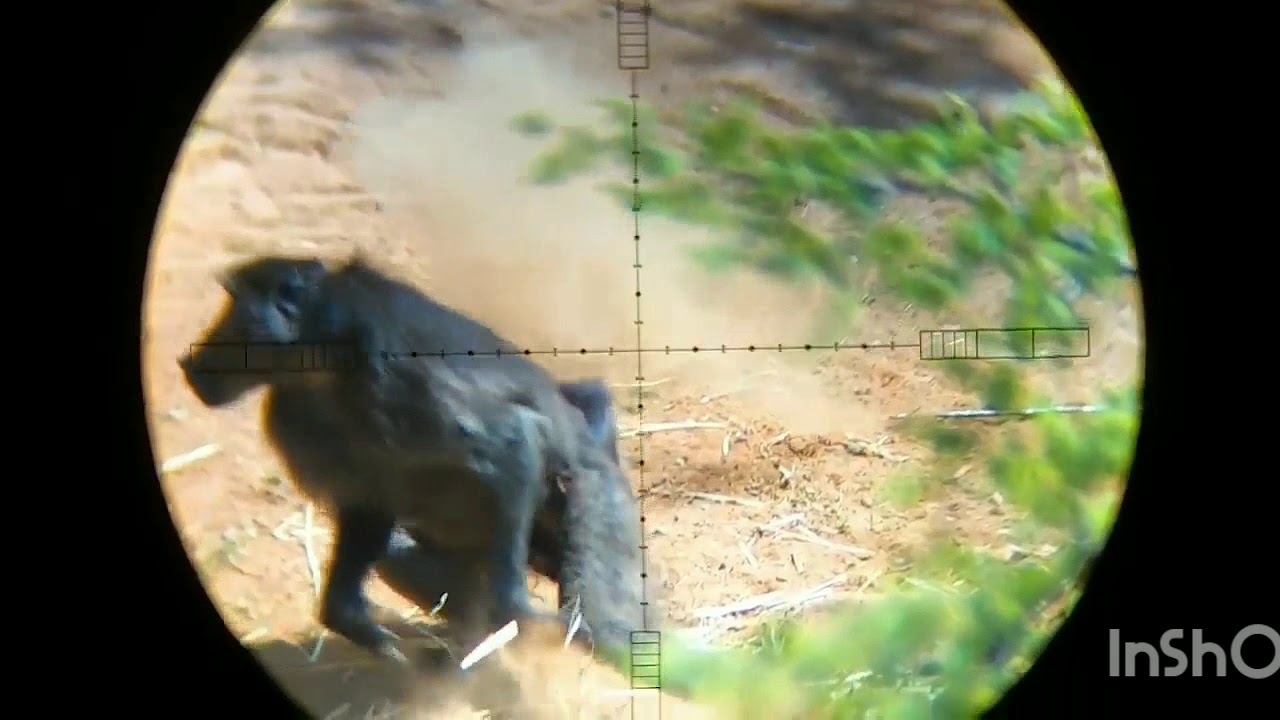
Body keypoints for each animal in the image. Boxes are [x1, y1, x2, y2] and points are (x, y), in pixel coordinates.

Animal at [178, 254, 599, 666]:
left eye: (235, 313)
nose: (193, 364)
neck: (328, 356)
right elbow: (369, 503)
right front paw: (354, 623)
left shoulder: (401, 386)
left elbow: (515, 443)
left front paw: (517, 618)